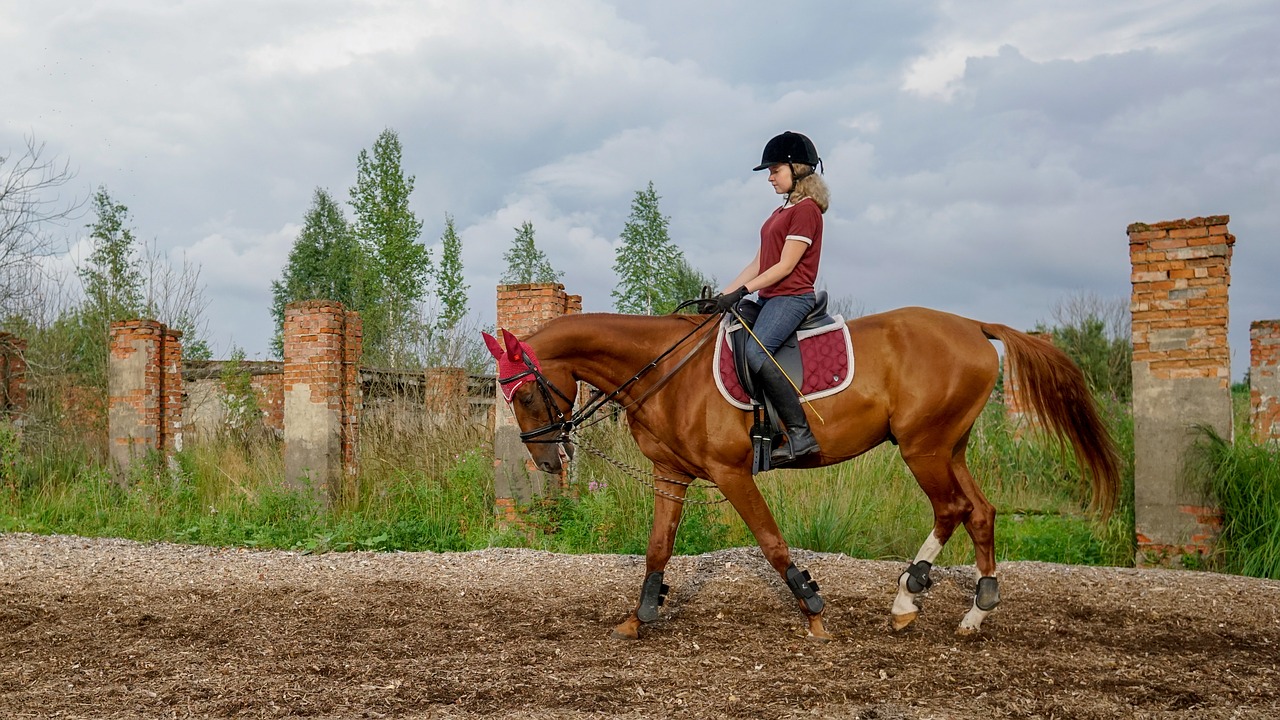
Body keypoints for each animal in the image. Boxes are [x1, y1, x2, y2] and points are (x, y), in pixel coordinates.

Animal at [482, 306, 1120, 641]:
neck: (666, 371)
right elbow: (658, 547)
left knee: (953, 509)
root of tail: (970, 325)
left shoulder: (731, 473)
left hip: (925, 447)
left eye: (527, 397)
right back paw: (972, 611)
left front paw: (812, 607)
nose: (547, 461)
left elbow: (771, 542)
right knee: (978, 512)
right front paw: (639, 617)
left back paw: (909, 599)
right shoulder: (672, 476)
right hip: (948, 447)